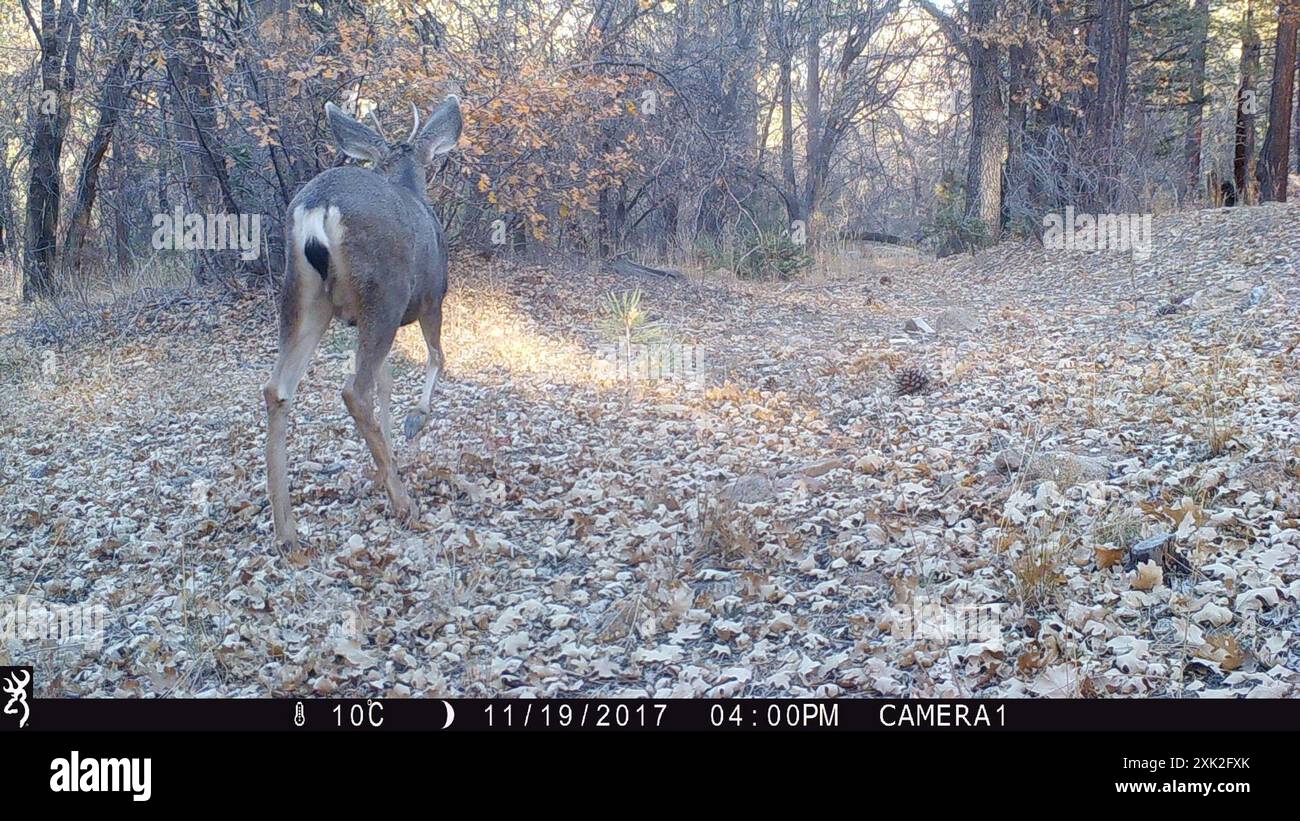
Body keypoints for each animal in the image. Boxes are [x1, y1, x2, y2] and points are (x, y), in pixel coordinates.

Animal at [263, 95, 462, 550]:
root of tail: (318, 208)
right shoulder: (432, 299)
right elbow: (437, 357)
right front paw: (414, 422)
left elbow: (386, 384)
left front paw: (386, 456)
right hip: (383, 292)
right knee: (353, 390)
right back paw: (402, 501)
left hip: (302, 294)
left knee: (278, 389)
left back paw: (287, 531)